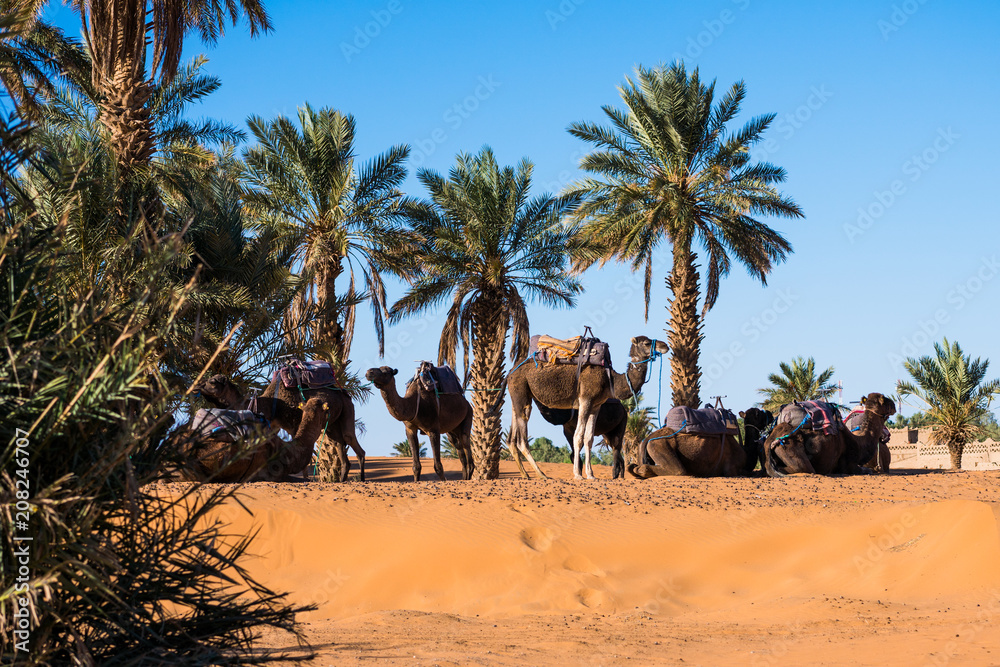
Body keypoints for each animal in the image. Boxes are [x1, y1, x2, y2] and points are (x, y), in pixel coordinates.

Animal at [195, 373, 366, 482]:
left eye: (212, 381)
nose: (196, 386)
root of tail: (344, 394)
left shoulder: (293, 423)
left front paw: (306, 479)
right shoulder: (275, 426)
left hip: (347, 410)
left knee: (352, 441)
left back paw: (362, 479)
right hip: (332, 426)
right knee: (339, 443)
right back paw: (342, 479)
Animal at [508, 336, 669, 480]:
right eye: (647, 343)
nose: (665, 346)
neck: (610, 380)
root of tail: (511, 372)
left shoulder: (596, 405)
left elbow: (589, 438)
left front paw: (591, 475)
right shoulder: (585, 399)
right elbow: (578, 436)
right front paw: (578, 475)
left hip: (519, 396)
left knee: (511, 437)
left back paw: (525, 474)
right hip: (521, 390)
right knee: (522, 438)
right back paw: (542, 475)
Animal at [762, 393, 896, 477]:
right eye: (884, 399)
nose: (894, 405)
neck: (859, 442)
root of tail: (771, 441)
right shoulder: (850, 465)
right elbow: (867, 470)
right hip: (790, 448)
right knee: (802, 469)